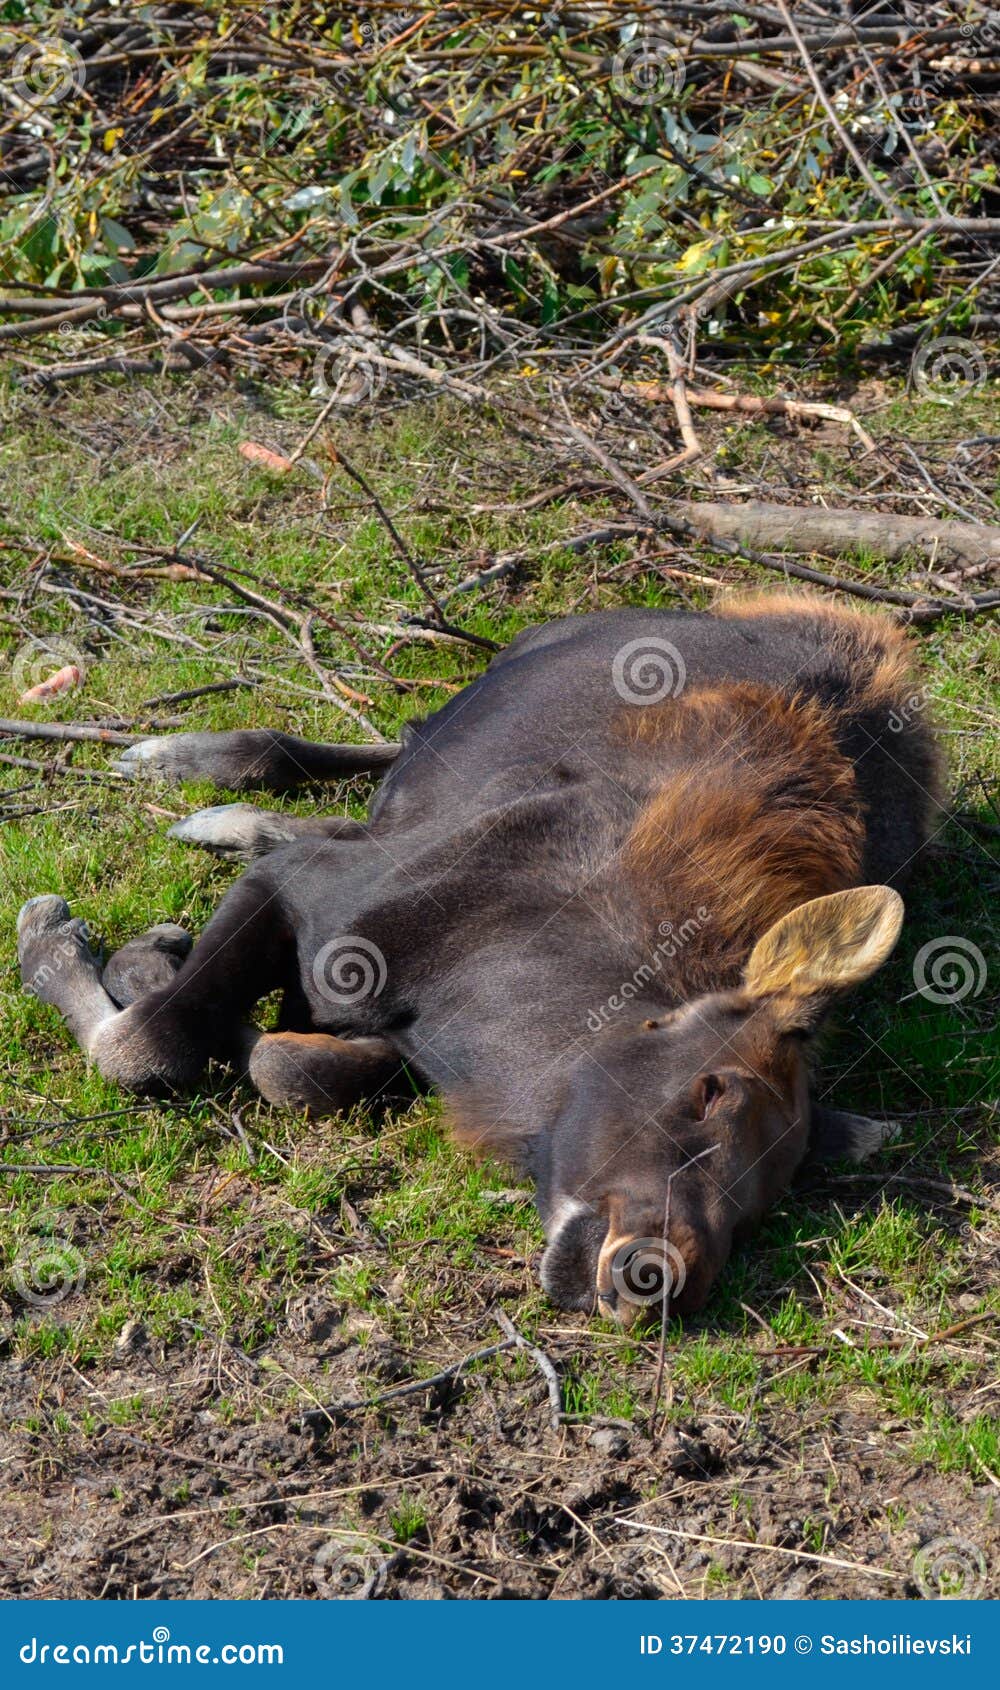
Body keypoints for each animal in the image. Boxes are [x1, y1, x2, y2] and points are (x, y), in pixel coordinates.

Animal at [17, 594, 940, 1325]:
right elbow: (142, 1047)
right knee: (384, 739)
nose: (659, 1274)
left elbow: (286, 1063)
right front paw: (57, 938)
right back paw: (185, 765)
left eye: (770, 1200)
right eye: (709, 1090)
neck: (480, 1004)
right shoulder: (305, 889)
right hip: (502, 667)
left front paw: (149, 958)